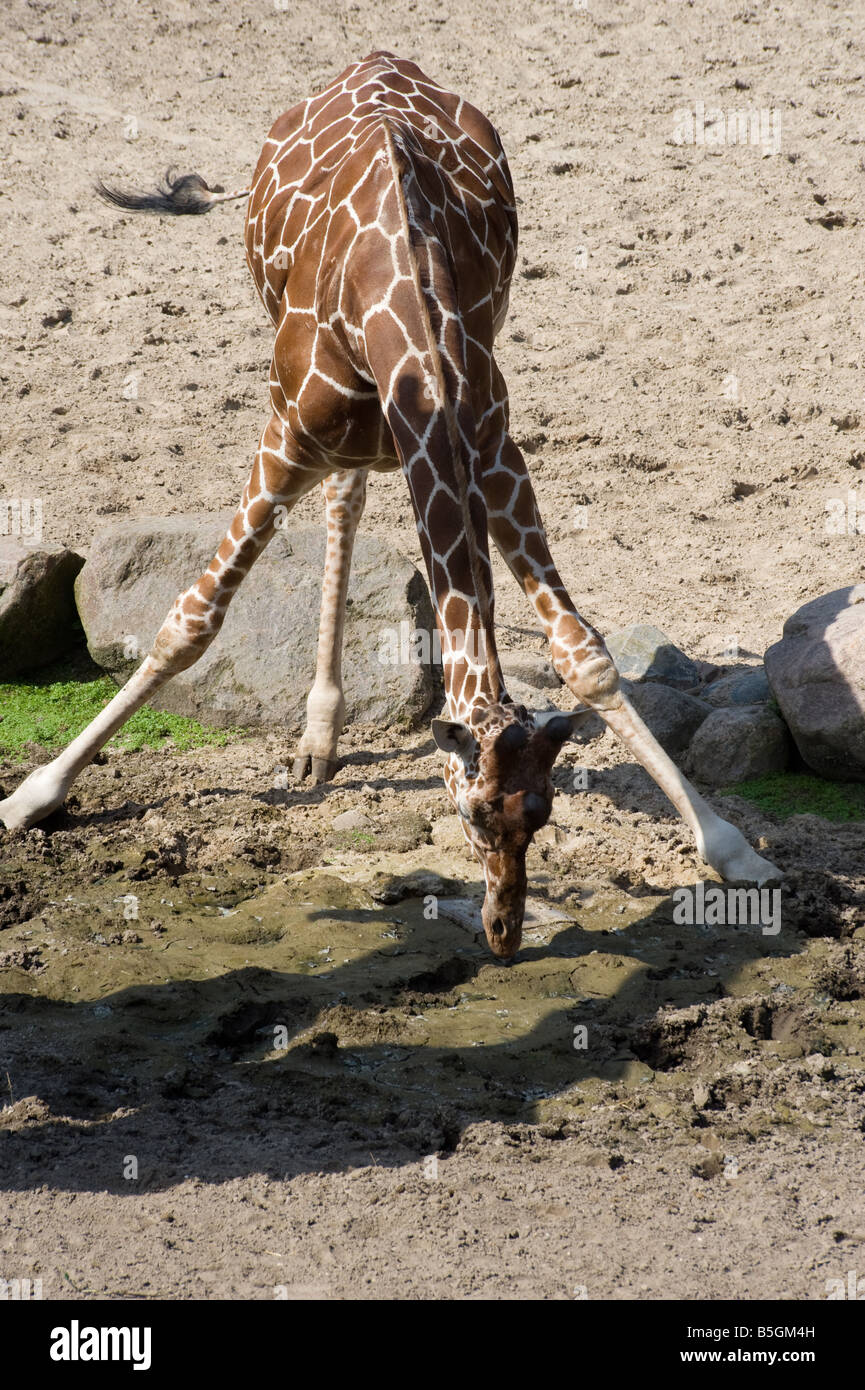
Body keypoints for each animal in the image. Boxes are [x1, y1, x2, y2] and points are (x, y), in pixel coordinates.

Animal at [0, 52, 778, 960]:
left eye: (542, 813)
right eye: (471, 813)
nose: (503, 933)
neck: (405, 318)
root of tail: (373, 60)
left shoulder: (494, 446)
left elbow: (581, 652)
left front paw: (734, 852)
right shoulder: (285, 436)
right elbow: (188, 623)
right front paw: (33, 796)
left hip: (391, 441)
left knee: (359, 504)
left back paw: (321, 734)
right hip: (320, 422)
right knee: (336, 508)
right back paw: (312, 744)